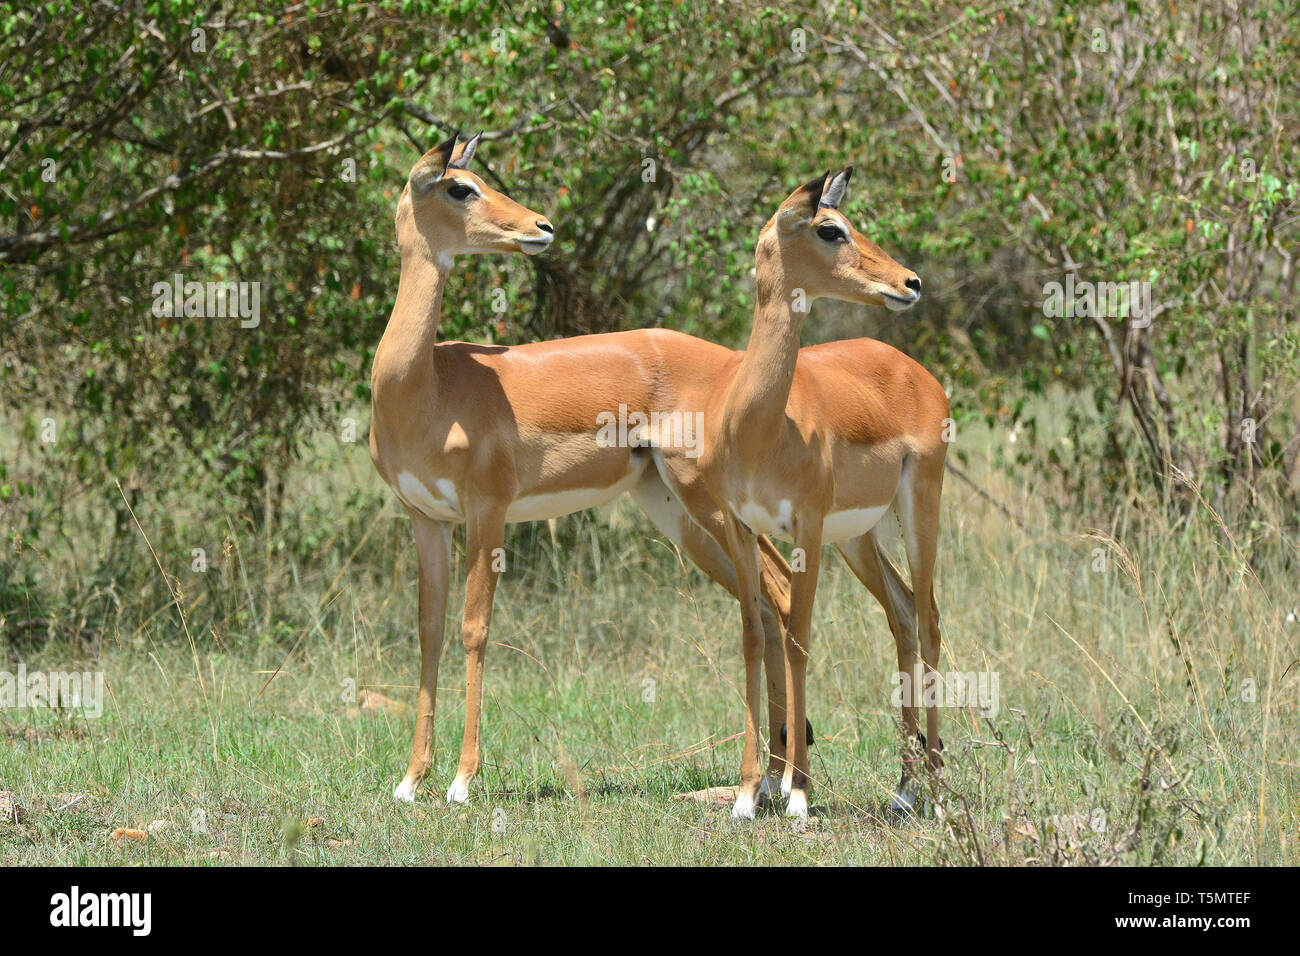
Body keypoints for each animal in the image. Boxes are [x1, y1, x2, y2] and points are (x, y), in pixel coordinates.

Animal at [369, 132, 800, 805]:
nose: (541, 226)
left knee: (778, 589)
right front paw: (411, 780)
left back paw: (779, 783)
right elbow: (429, 630)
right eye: (460, 187)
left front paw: (462, 781)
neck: (426, 387)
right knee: (760, 600)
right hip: (676, 513)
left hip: (709, 503)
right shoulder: (426, 517)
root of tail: (734, 368)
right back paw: (773, 778)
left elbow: (474, 628)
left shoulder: (487, 511)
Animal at [699, 167, 951, 819]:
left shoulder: (806, 527)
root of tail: (915, 371)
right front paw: (746, 796)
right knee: (903, 614)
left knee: (931, 619)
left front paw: (797, 796)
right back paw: (903, 789)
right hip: (859, 538)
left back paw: (940, 794)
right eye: (830, 228)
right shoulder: (739, 526)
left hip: (918, 506)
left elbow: (799, 638)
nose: (911, 282)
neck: (759, 426)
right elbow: (755, 637)